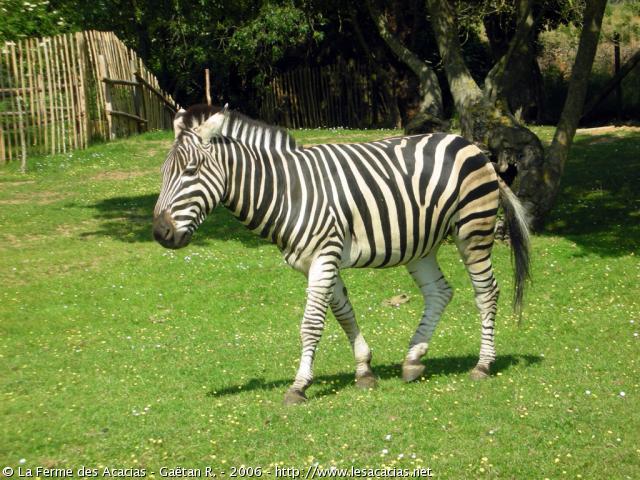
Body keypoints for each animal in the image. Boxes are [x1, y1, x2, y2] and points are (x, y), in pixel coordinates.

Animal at [153, 105, 531, 405]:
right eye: (163, 174)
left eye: (190, 171)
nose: (159, 233)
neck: (288, 192)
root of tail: (472, 147)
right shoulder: (318, 259)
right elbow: (344, 313)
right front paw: (364, 370)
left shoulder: (324, 255)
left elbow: (311, 324)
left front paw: (299, 386)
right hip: (421, 244)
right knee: (440, 292)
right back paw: (413, 358)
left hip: (472, 228)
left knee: (486, 292)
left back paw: (483, 364)